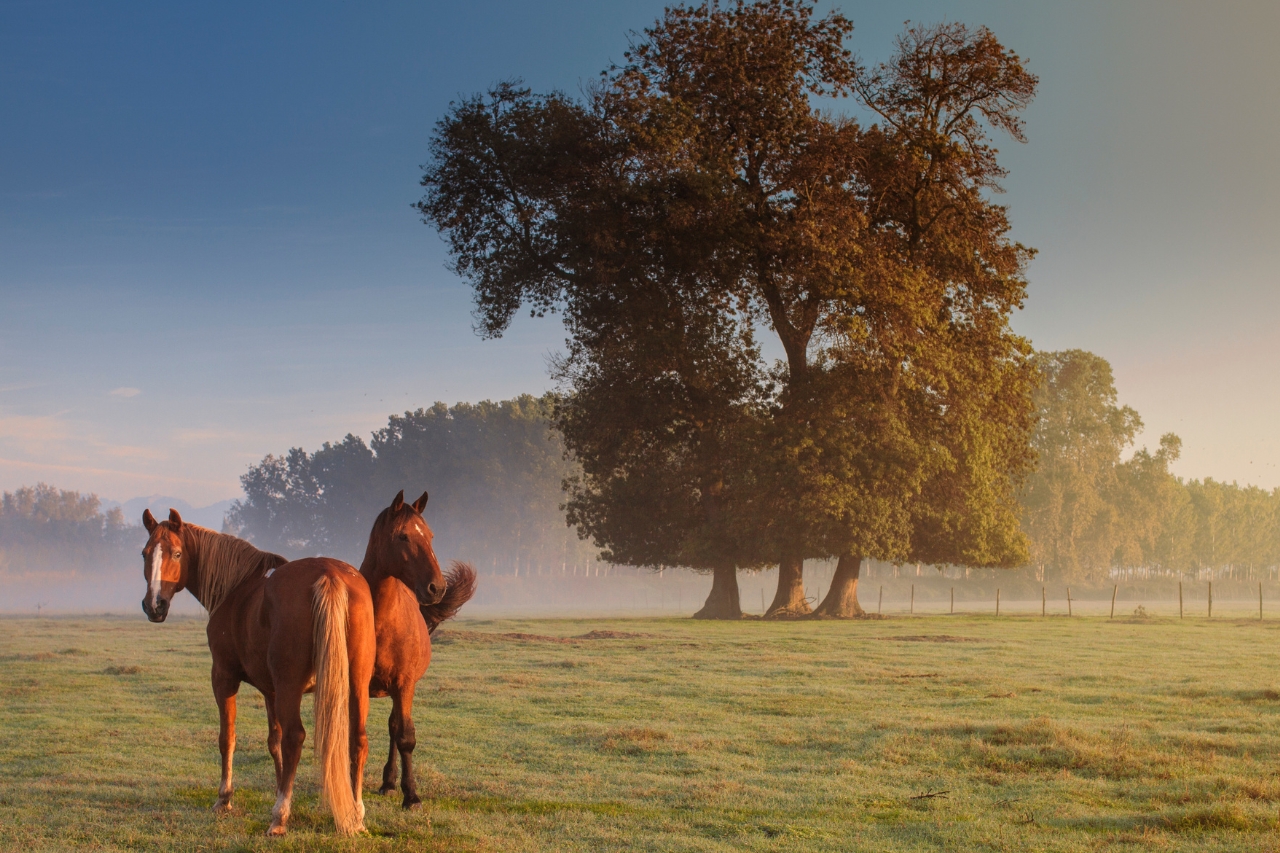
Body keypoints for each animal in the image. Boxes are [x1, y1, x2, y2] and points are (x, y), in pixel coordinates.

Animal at [140, 508, 376, 836]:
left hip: (291, 687)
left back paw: (280, 817)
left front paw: (224, 799)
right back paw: (356, 815)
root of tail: (329, 575)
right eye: (145, 553)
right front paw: (278, 789)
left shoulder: (224, 678)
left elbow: (228, 738)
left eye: (176, 553)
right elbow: (273, 742)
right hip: (356, 684)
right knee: (357, 740)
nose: (154, 606)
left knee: (295, 738)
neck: (235, 588)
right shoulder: (271, 690)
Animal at [359, 490, 476, 808]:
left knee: (394, 727)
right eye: (403, 536)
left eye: (431, 536)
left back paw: (390, 782)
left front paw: (411, 795)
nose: (438, 588)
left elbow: (406, 737)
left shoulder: (404, 683)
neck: (380, 620)